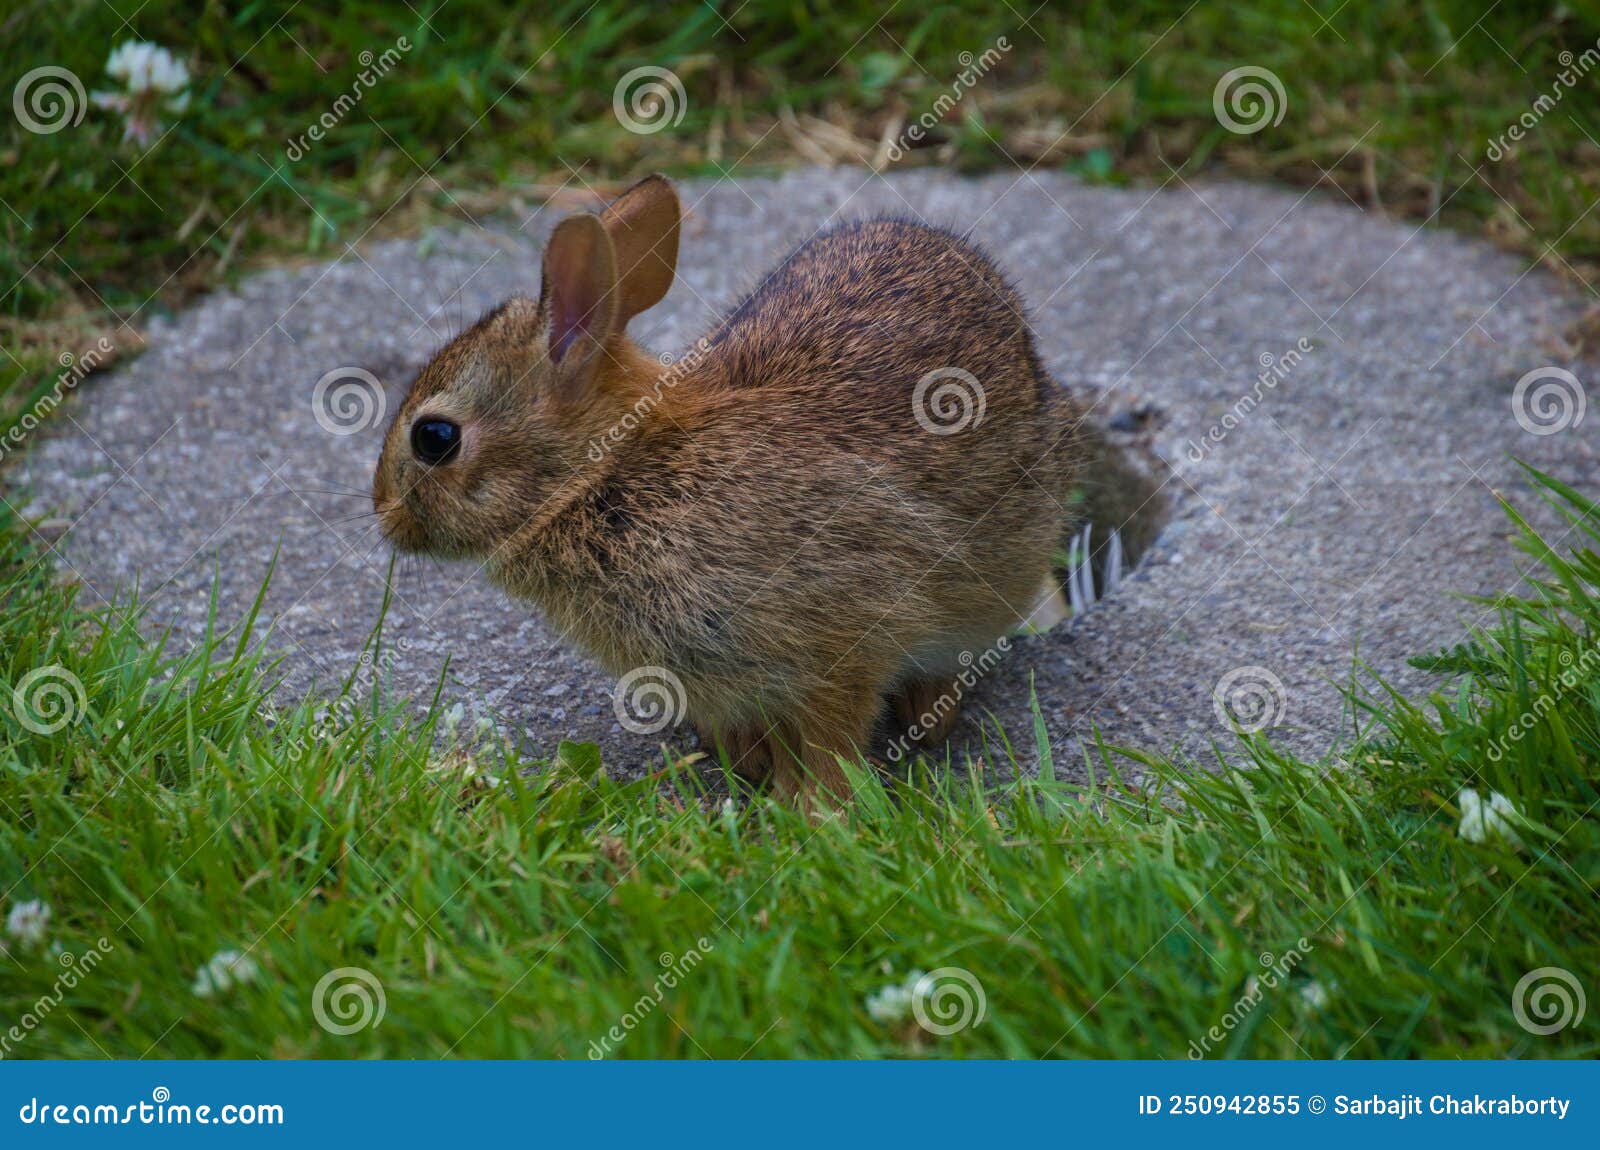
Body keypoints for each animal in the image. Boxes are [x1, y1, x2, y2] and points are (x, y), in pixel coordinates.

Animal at [373, 174, 1100, 804]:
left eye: (434, 437)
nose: (383, 515)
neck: (604, 472)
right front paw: (770, 786)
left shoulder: (839, 641)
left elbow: (833, 740)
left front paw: (814, 813)